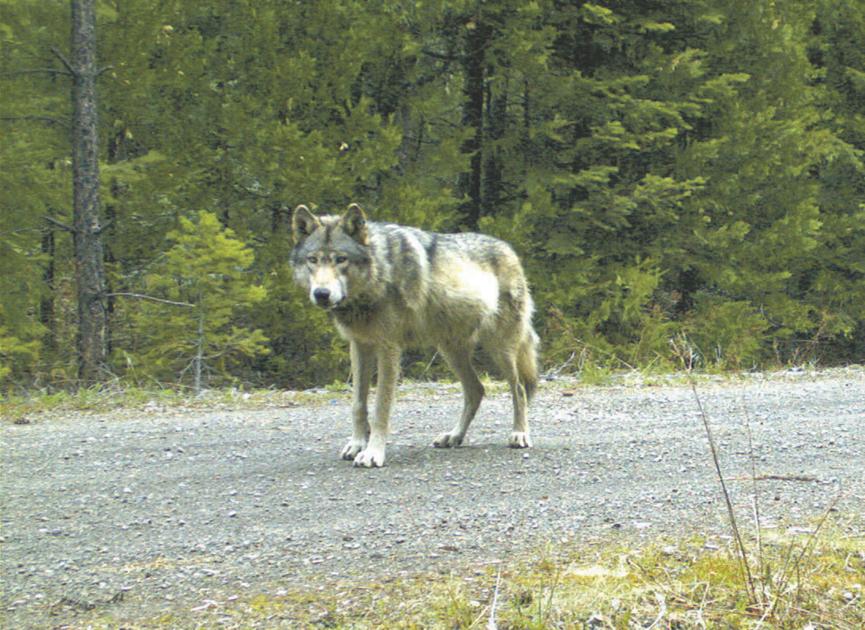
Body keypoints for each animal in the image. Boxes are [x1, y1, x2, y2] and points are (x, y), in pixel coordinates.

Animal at [290, 203, 539, 468]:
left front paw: (372, 453)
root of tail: (510, 249)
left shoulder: (388, 348)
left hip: (500, 349)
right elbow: (358, 404)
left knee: (519, 389)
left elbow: (380, 407)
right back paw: (454, 436)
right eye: (313, 260)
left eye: (340, 259)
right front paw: (357, 444)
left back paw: (520, 434)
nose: (321, 294)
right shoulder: (359, 346)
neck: (379, 273)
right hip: (450, 352)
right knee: (476, 390)